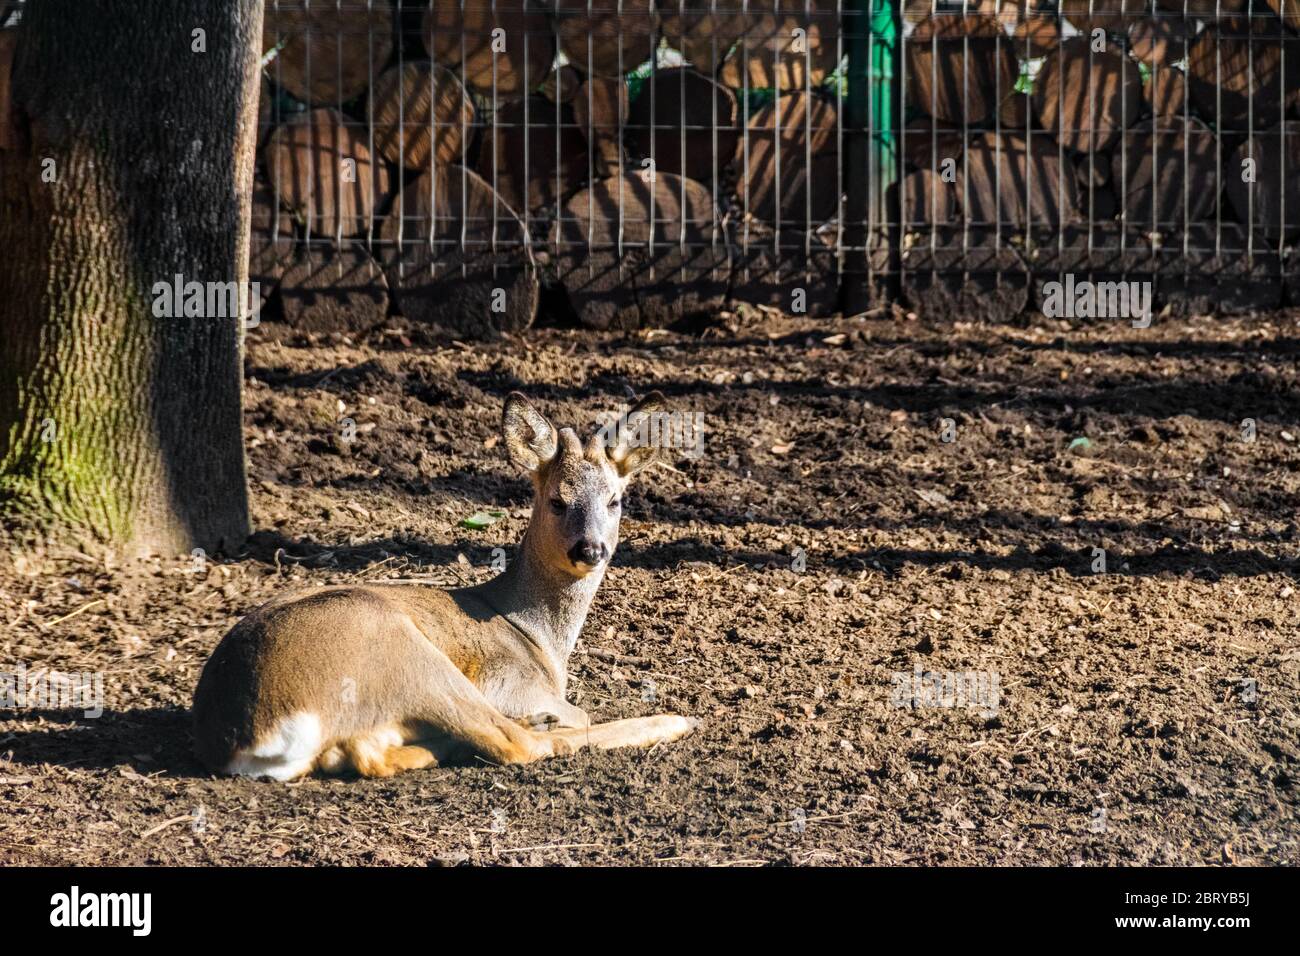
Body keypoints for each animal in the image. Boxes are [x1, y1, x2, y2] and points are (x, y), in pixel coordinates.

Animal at [192, 391, 698, 781]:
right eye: (557, 500)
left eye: (615, 501)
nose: (591, 548)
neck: (538, 638)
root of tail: (246, 738)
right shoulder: (505, 680)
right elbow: (575, 713)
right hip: (404, 651)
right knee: (513, 741)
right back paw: (670, 721)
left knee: (365, 753)